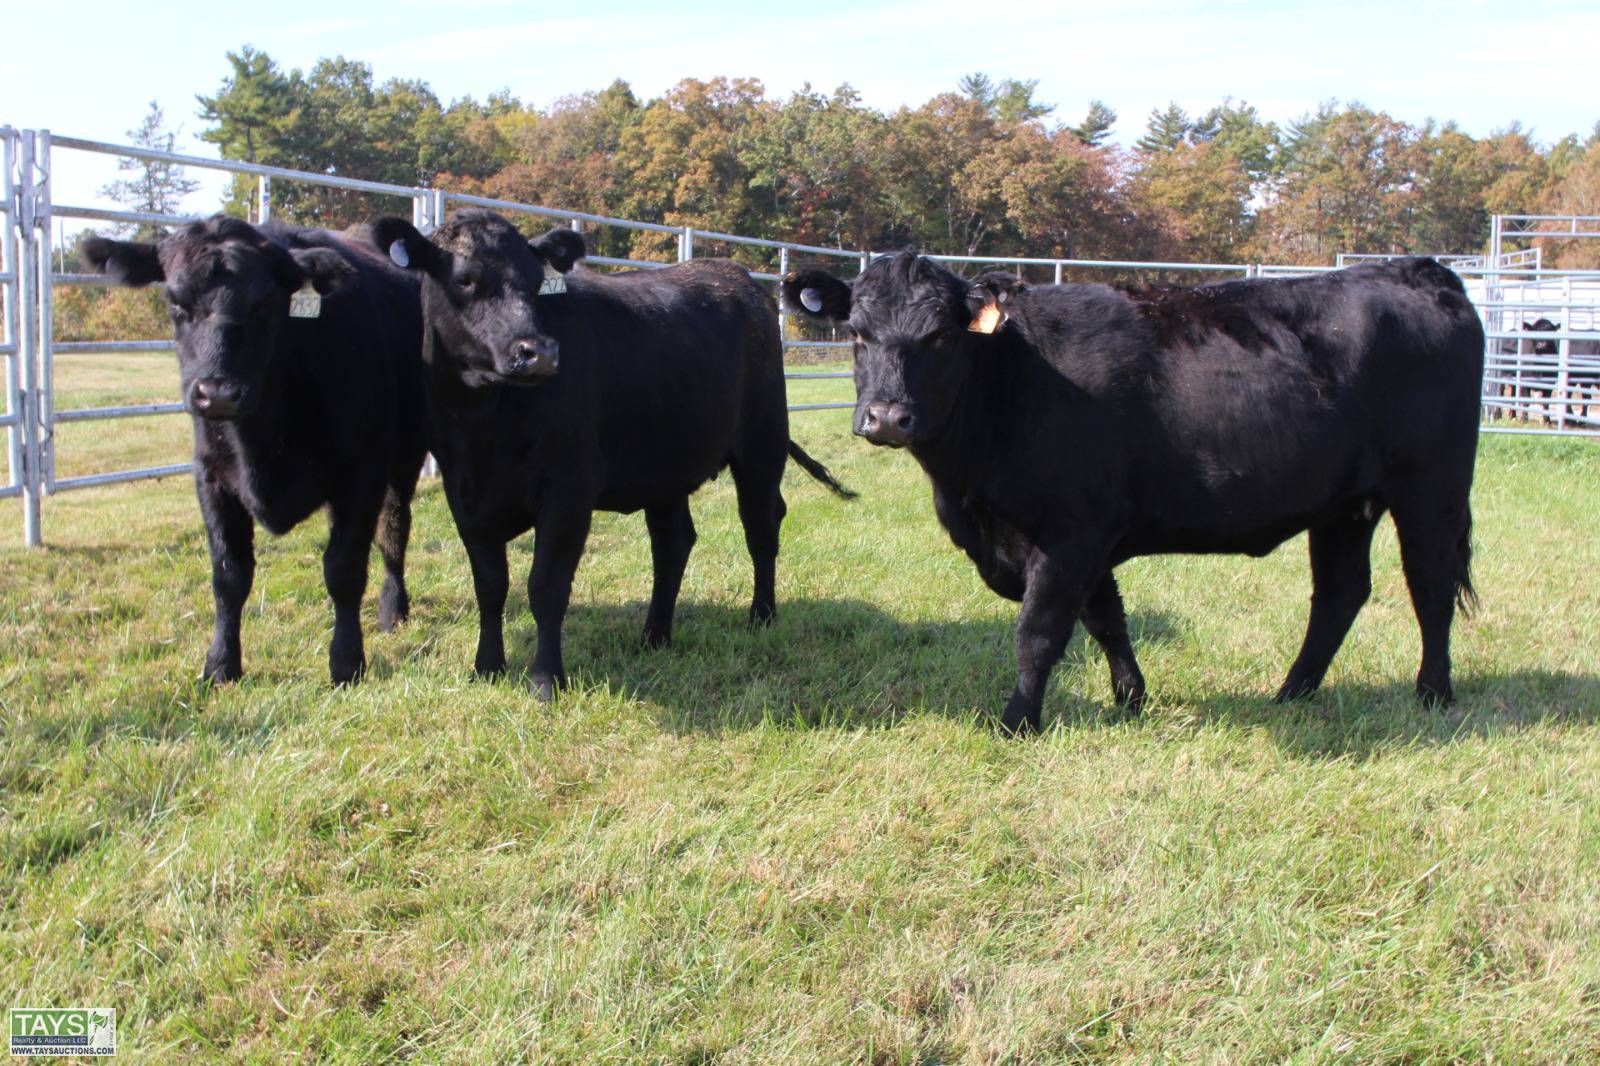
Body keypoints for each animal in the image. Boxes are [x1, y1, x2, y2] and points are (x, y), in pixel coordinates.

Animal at [82, 216, 427, 685]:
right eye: (176, 303)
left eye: (264, 305)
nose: (218, 392)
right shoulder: (209, 475)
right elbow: (229, 575)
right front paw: (221, 664)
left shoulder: (362, 469)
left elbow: (344, 568)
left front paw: (346, 661)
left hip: (405, 455)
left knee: (393, 529)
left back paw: (393, 608)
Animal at [365, 209, 853, 698]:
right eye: (465, 279)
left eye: (534, 282)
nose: (539, 353)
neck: (485, 423)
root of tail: (733, 275)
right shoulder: (464, 493)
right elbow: (490, 586)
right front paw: (486, 668)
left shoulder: (569, 489)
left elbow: (546, 587)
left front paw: (545, 680)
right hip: (667, 468)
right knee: (673, 544)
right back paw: (655, 635)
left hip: (761, 445)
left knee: (761, 530)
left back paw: (761, 616)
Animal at [783, 253, 1484, 733]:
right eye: (856, 333)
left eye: (941, 337)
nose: (886, 417)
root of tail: (1417, 270)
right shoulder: (1088, 536)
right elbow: (1107, 620)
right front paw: (1131, 698)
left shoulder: (1068, 533)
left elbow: (1039, 632)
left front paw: (1016, 722)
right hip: (1343, 506)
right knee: (1340, 593)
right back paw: (1293, 692)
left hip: (1432, 488)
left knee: (1429, 584)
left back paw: (1433, 693)